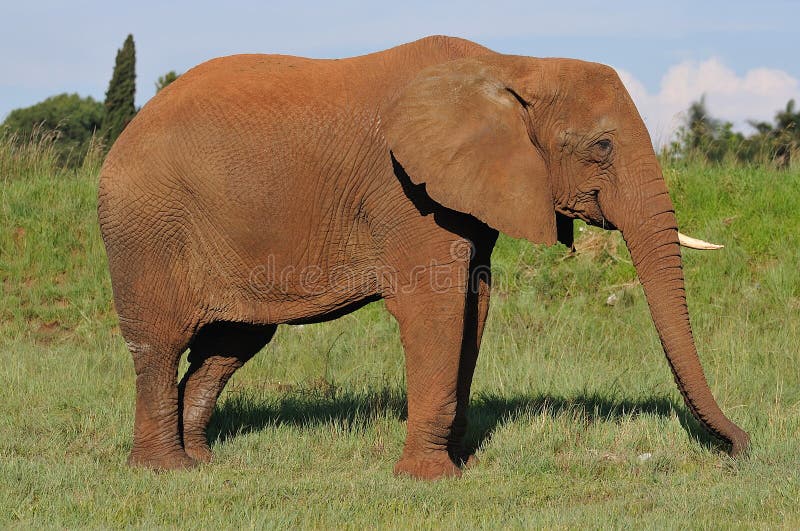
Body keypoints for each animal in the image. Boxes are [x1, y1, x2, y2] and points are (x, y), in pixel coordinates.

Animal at [97, 35, 749, 480]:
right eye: (603, 146)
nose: (742, 447)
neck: (511, 65)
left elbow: (474, 305)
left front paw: (460, 463)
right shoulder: (406, 191)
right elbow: (434, 306)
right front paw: (431, 479)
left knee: (230, 344)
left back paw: (203, 463)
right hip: (145, 227)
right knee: (159, 344)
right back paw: (163, 470)